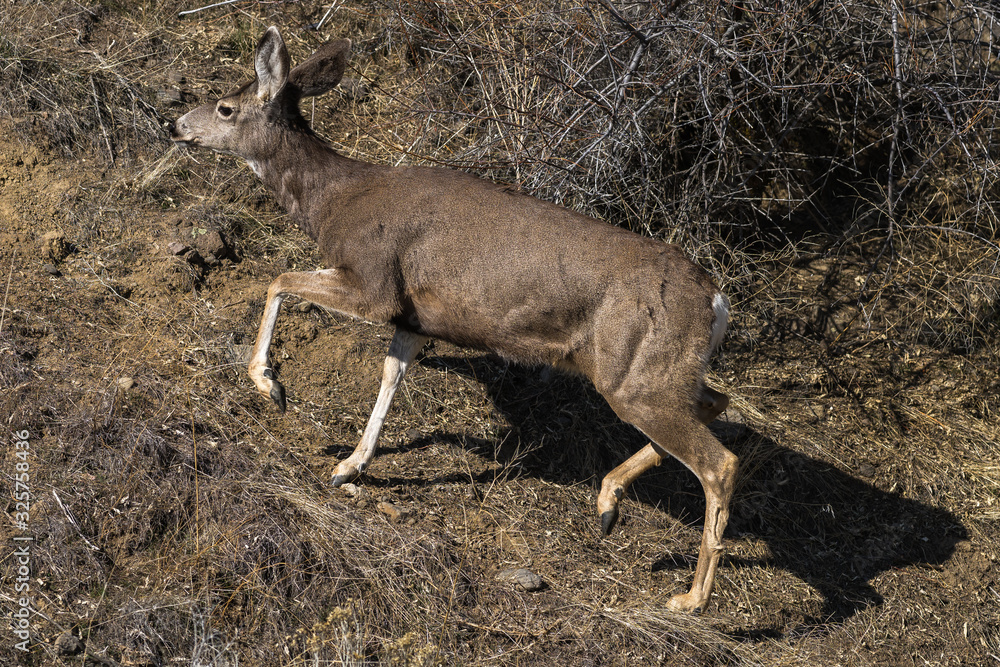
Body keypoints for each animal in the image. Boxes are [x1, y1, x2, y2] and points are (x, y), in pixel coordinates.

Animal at [169, 26, 738, 613]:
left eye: (225, 107)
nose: (175, 125)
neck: (335, 203)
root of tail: (716, 301)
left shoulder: (373, 280)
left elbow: (278, 280)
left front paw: (270, 384)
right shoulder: (414, 317)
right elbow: (390, 376)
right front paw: (351, 465)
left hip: (634, 377)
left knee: (721, 464)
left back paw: (690, 598)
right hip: (659, 372)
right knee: (716, 401)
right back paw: (609, 502)